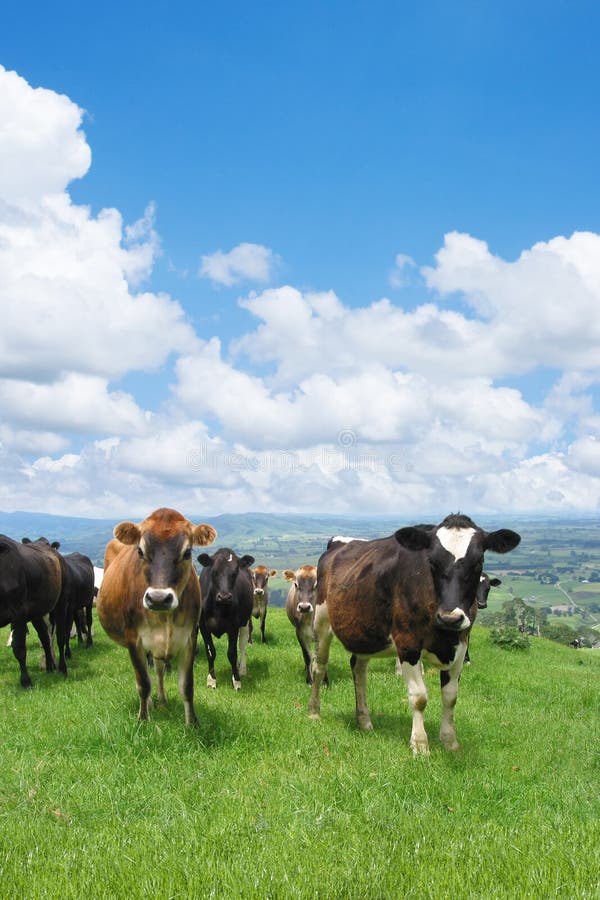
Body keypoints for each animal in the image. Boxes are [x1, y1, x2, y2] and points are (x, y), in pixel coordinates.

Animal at [0, 534, 66, 687]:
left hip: (61, 603)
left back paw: (62, 668)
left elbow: (19, 648)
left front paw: (26, 681)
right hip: (36, 613)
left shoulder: (18, 613)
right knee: (44, 637)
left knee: (60, 637)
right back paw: (49, 667)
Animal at [96, 508, 216, 723]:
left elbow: (187, 686)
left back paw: (162, 699)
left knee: (159, 671)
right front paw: (143, 720)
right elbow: (143, 683)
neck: (165, 617)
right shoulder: (133, 639)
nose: (158, 598)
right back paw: (151, 703)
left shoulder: (190, 637)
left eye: (187, 552)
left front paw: (192, 723)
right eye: (140, 551)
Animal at [197, 548, 254, 690]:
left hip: (245, 622)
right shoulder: (203, 627)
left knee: (242, 644)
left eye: (235, 573)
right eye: (214, 572)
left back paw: (242, 669)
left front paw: (236, 680)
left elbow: (232, 653)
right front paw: (211, 679)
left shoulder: (233, 627)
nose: (224, 596)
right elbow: (210, 652)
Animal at [307, 514, 521, 754]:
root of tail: (337, 543)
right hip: (321, 621)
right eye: (432, 563)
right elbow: (419, 697)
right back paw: (314, 711)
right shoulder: (407, 644)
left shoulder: (461, 644)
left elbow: (451, 697)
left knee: (359, 669)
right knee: (318, 666)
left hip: (364, 631)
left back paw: (364, 721)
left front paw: (450, 741)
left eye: (478, 563)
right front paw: (420, 743)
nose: (450, 618)